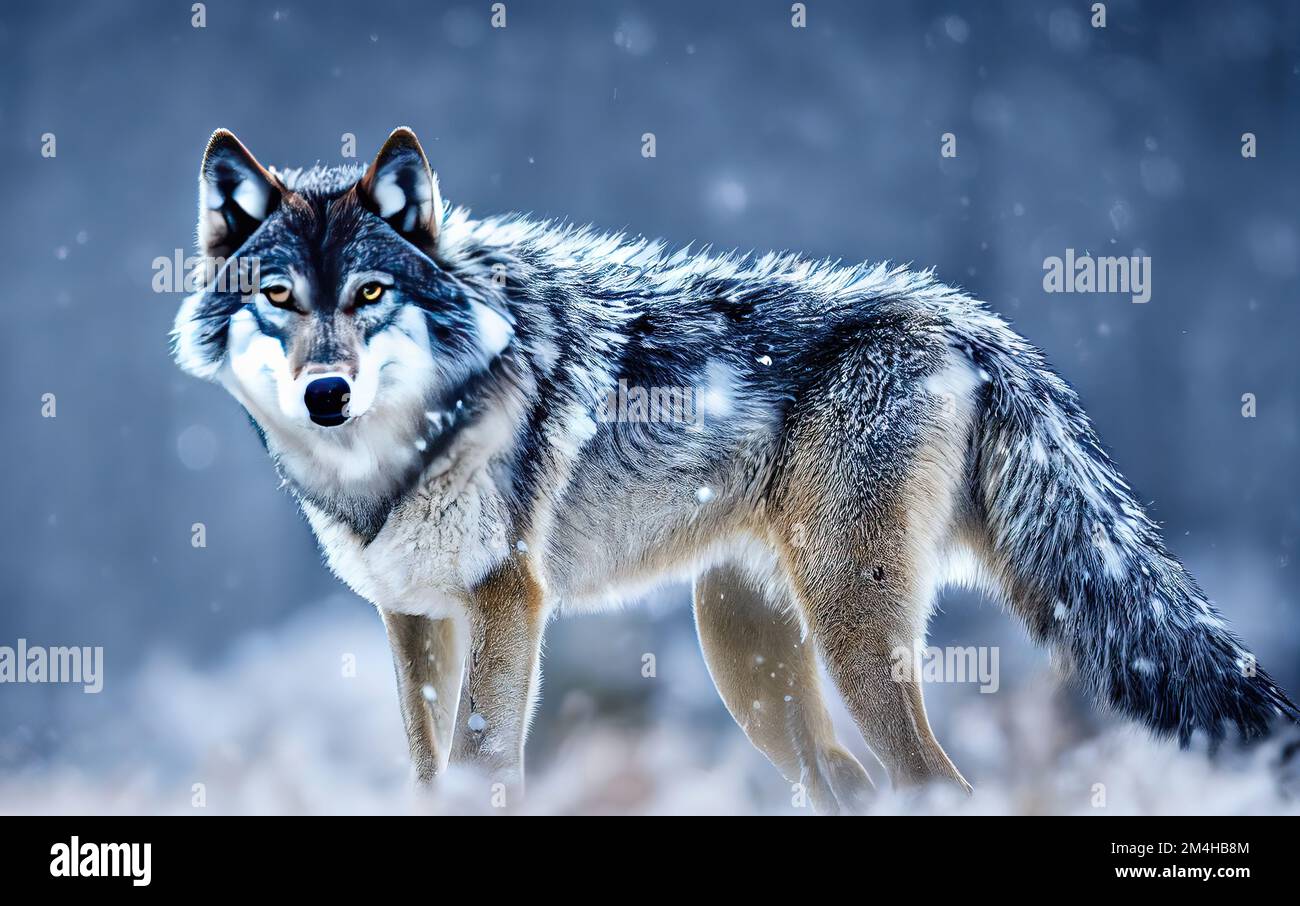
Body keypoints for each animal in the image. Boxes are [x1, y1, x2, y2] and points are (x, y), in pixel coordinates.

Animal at [173, 127, 1298, 813]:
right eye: (278, 296)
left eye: (370, 294)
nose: (327, 393)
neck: (392, 460)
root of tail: (962, 319)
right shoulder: (412, 618)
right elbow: (426, 774)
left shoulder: (506, 603)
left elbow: (481, 768)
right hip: (749, 668)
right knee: (850, 786)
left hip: (848, 641)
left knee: (939, 787)